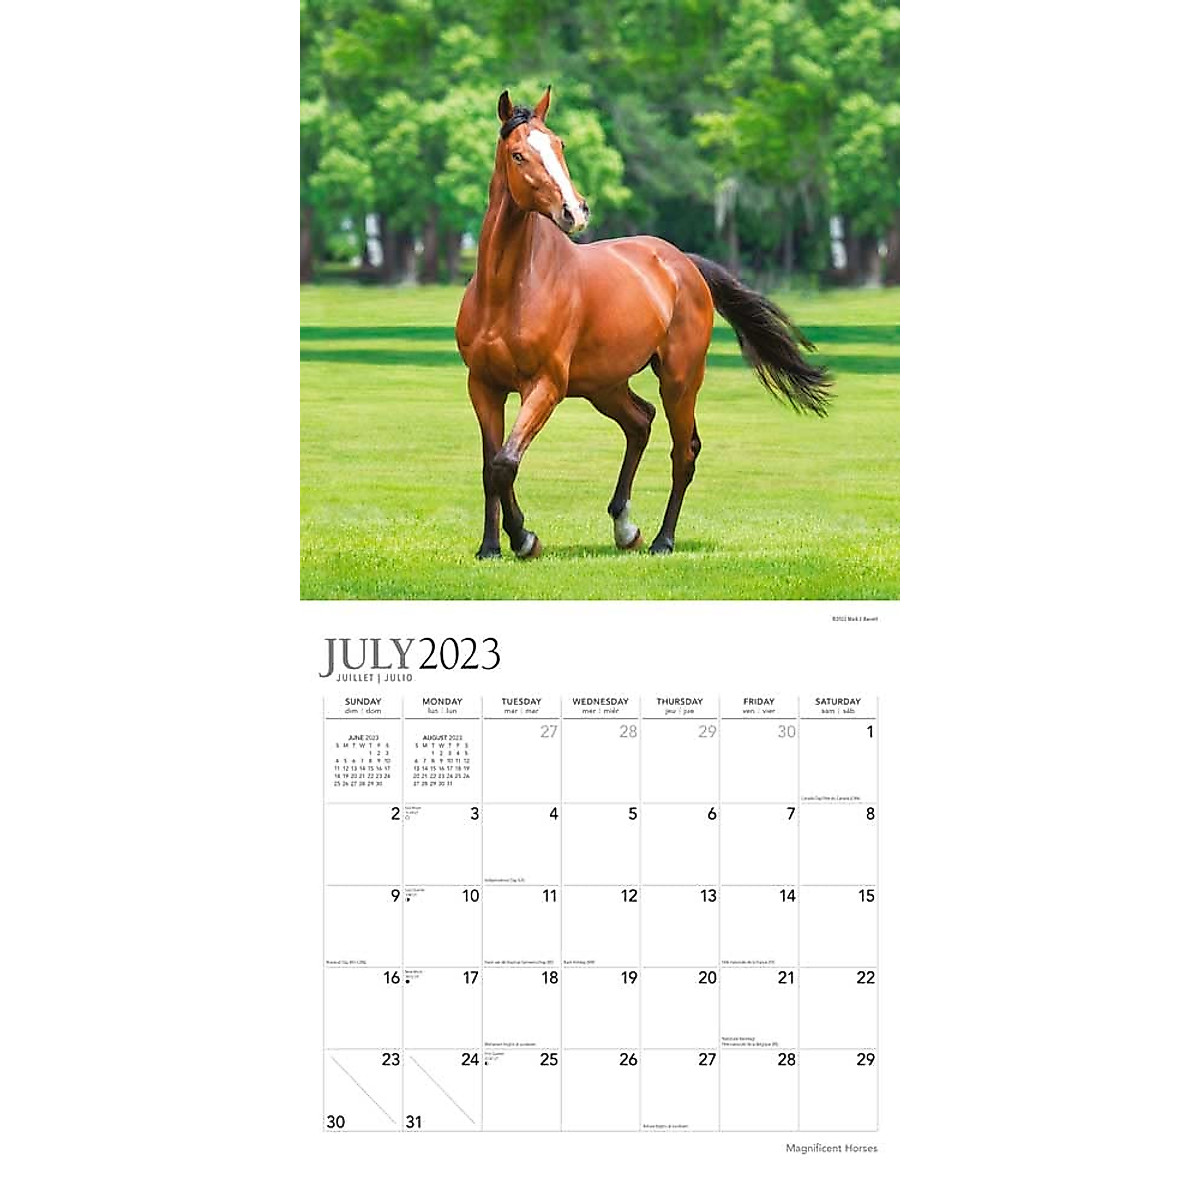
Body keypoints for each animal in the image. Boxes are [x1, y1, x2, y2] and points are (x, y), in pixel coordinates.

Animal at [454, 87, 831, 560]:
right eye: (518, 154)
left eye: (560, 144)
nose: (574, 211)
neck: (509, 292)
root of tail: (682, 263)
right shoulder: (483, 386)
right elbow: (491, 467)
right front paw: (490, 547)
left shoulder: (544, 386)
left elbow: (506, 461)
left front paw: (524, 538)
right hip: (604, 385)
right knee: (640, 422)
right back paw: (625, 528)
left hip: (679, 378)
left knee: (683, 451)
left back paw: (661, 540)